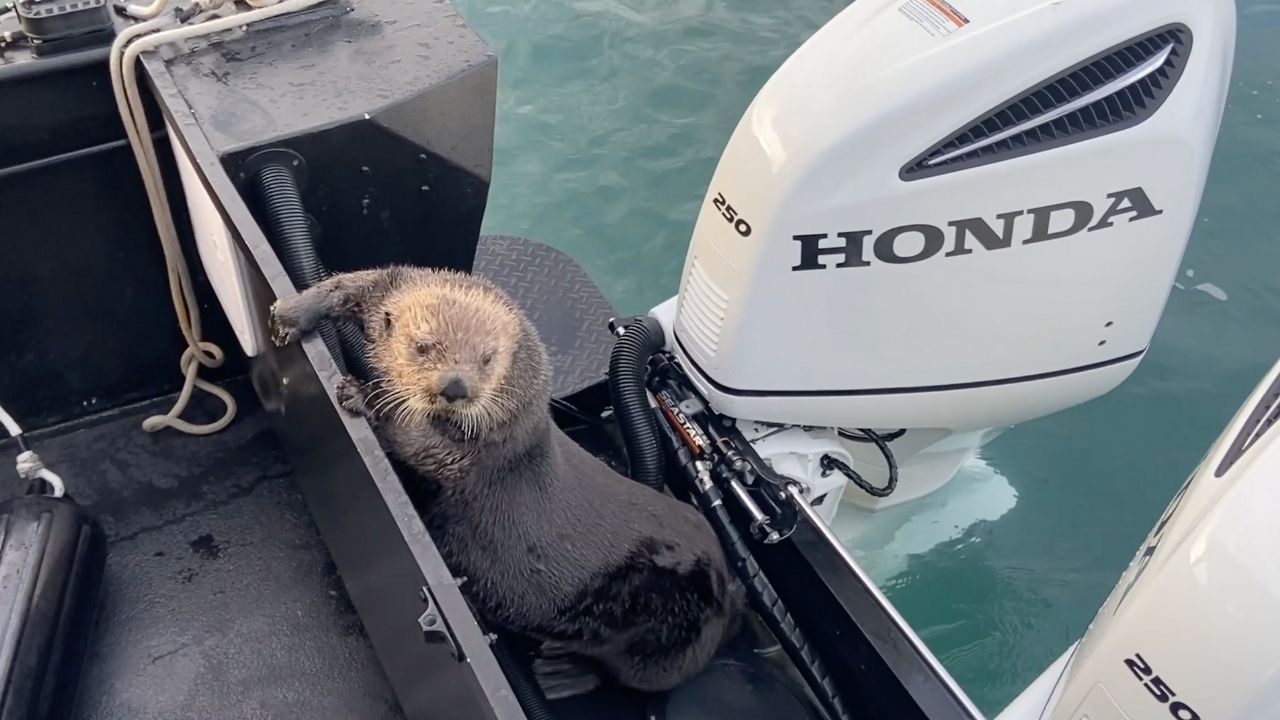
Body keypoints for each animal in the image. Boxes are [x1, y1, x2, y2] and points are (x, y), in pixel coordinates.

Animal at [269, 266, 742, 699]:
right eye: (422, 347)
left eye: (487, 358)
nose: (455, 387)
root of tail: (729, 595)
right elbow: (350, 284)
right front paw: (289, 315)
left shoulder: (478, 447)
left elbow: (420, 440)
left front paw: (363, 396)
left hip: (671, 638)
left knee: (627, 676)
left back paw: (559, 671)